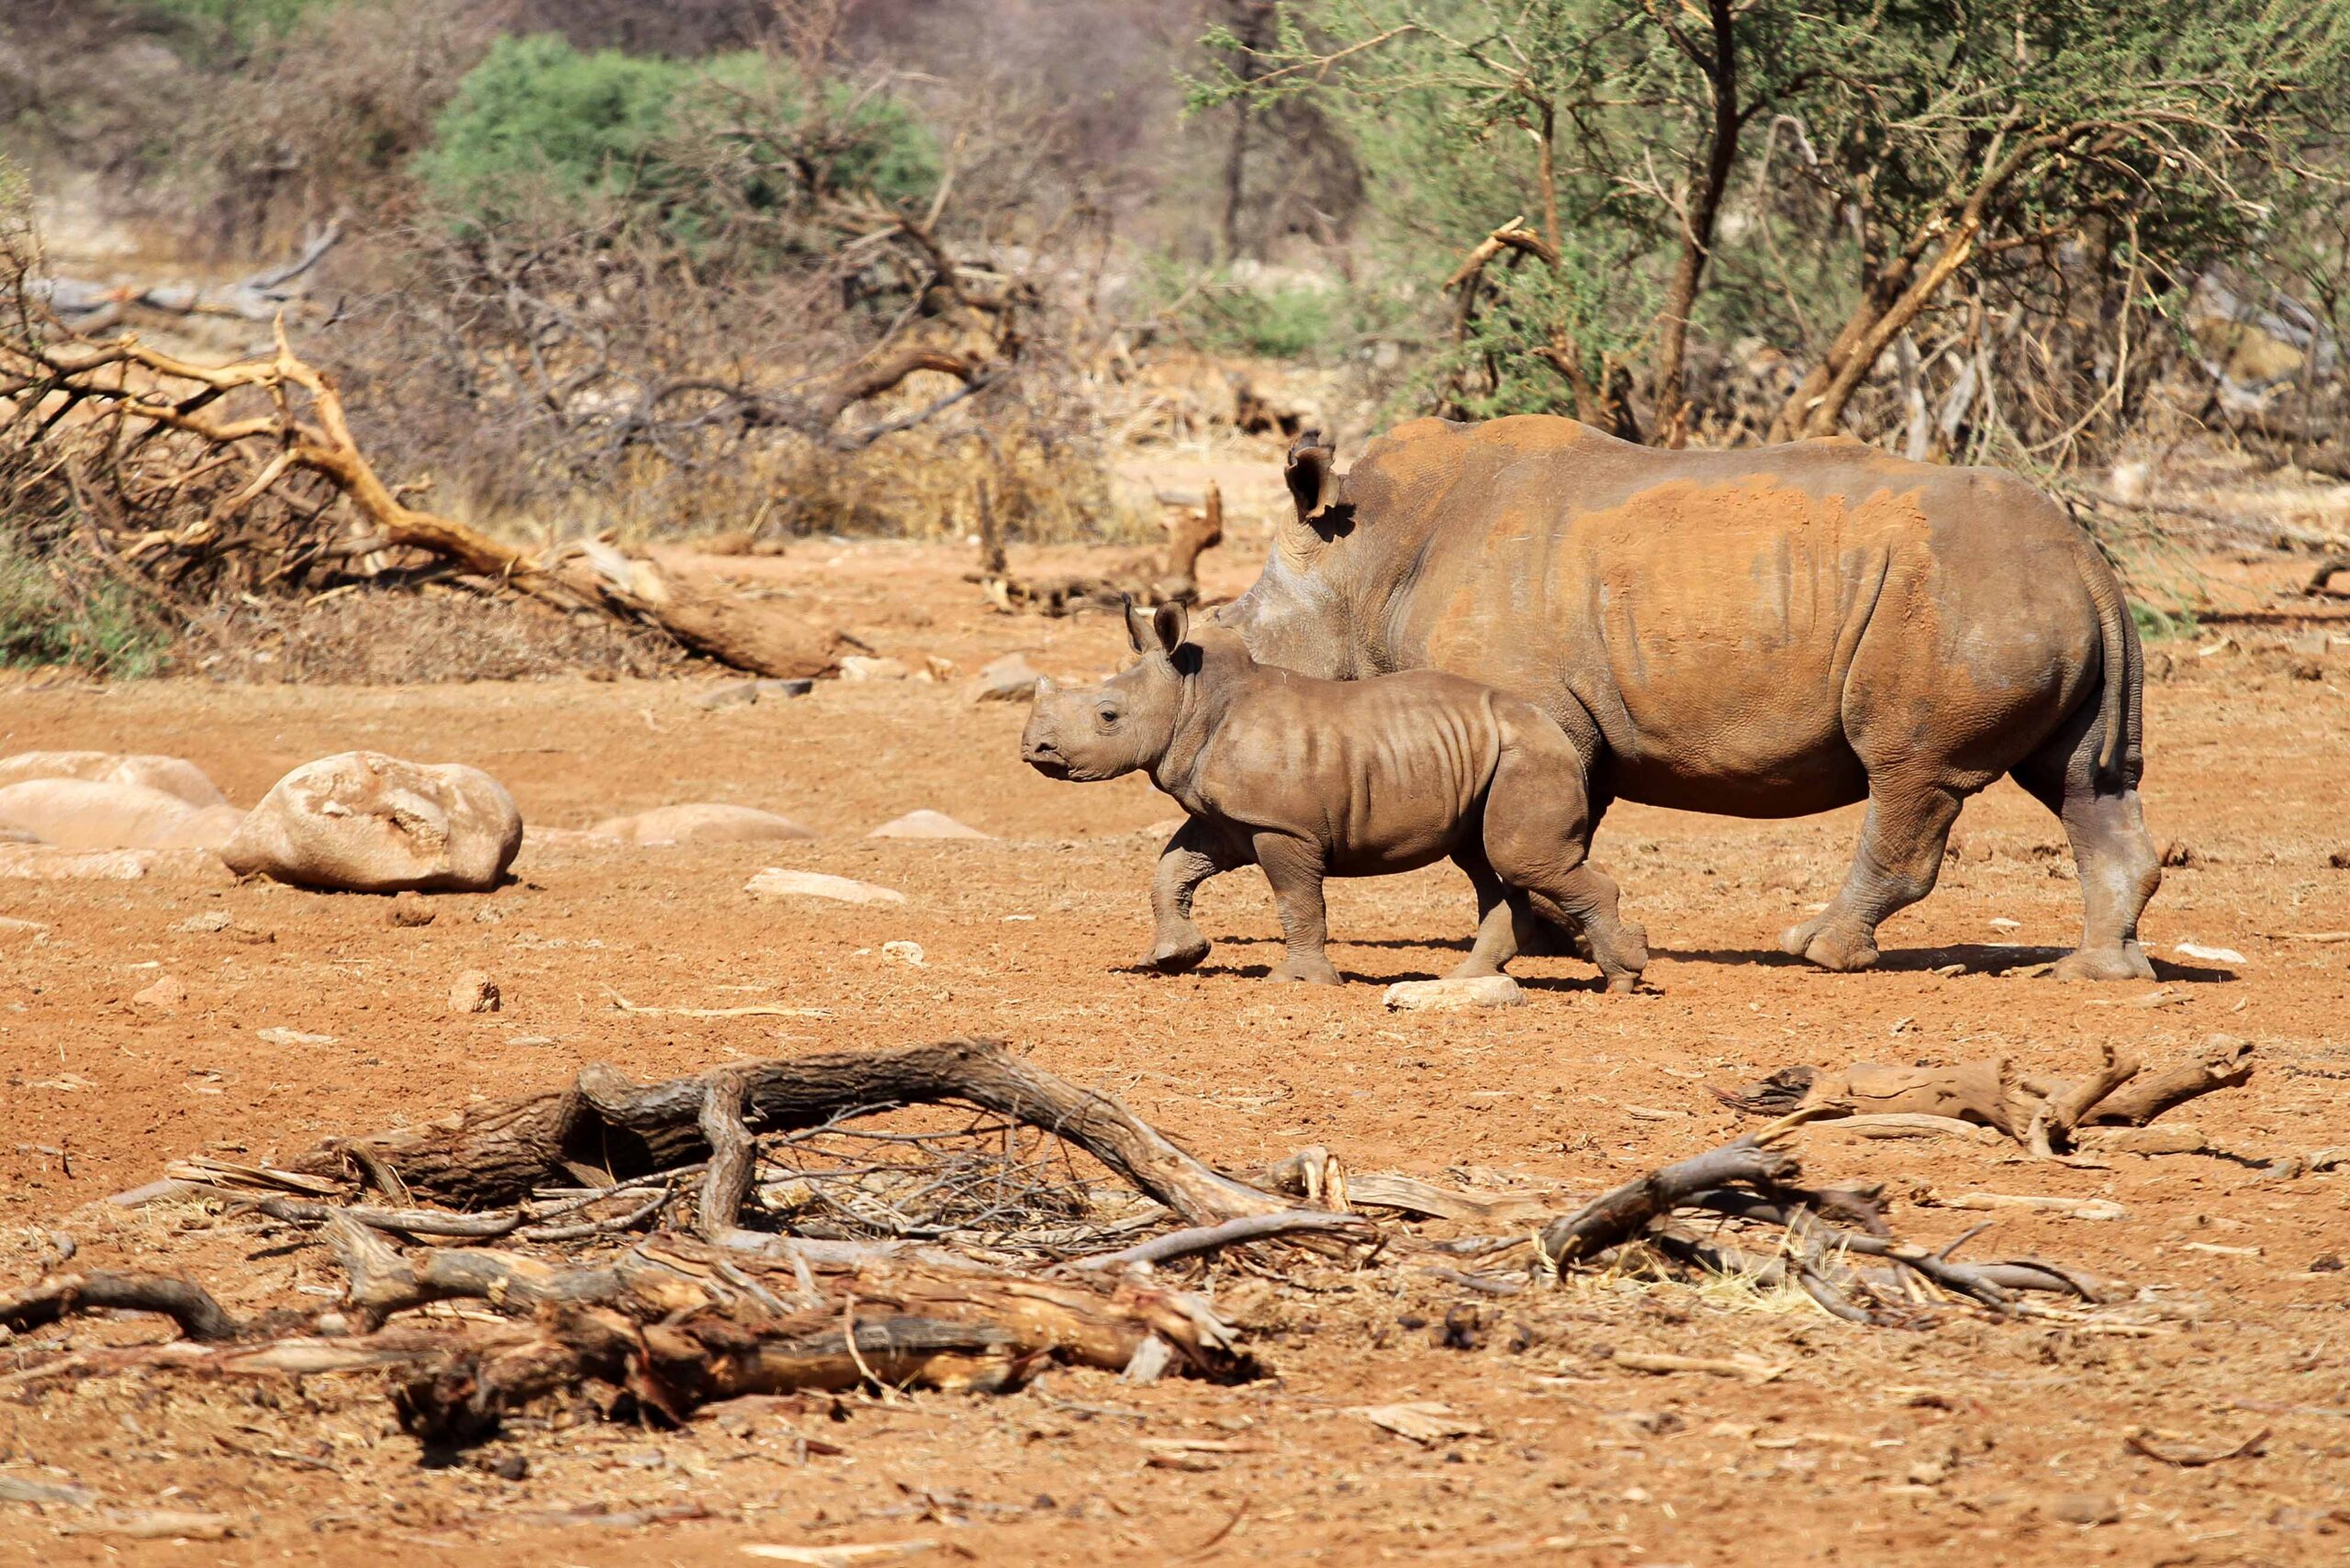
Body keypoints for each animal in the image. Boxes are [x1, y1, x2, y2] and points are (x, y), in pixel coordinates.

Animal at [1021, 601, 1649, 989]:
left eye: (1107, 716)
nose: (1035, 751)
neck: (1190, 698)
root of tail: (1553, 726)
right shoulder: (1230, 820)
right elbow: (1170, 870)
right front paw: (1172, 958)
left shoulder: (1281, 824)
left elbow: (1296, 900)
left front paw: (1298, 981)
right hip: (1491, 755)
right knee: (1485, 863)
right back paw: (1466, 981)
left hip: (1529, 755)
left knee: (1523, 861)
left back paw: (1624, 977)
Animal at [1214, 416, 2162, 981]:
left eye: (1236, 637)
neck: (1362, 558)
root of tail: (2089, 560)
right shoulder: (1561, 719)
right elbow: (1555, 828)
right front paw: (1558, 936)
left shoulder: (1532, 712)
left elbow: (1529, 832)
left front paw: (1556, 939)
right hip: (2025, 593)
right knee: (2084, 783)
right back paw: (2096, 973)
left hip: (1954, 600)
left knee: (1911, 772)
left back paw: (1816, 952)